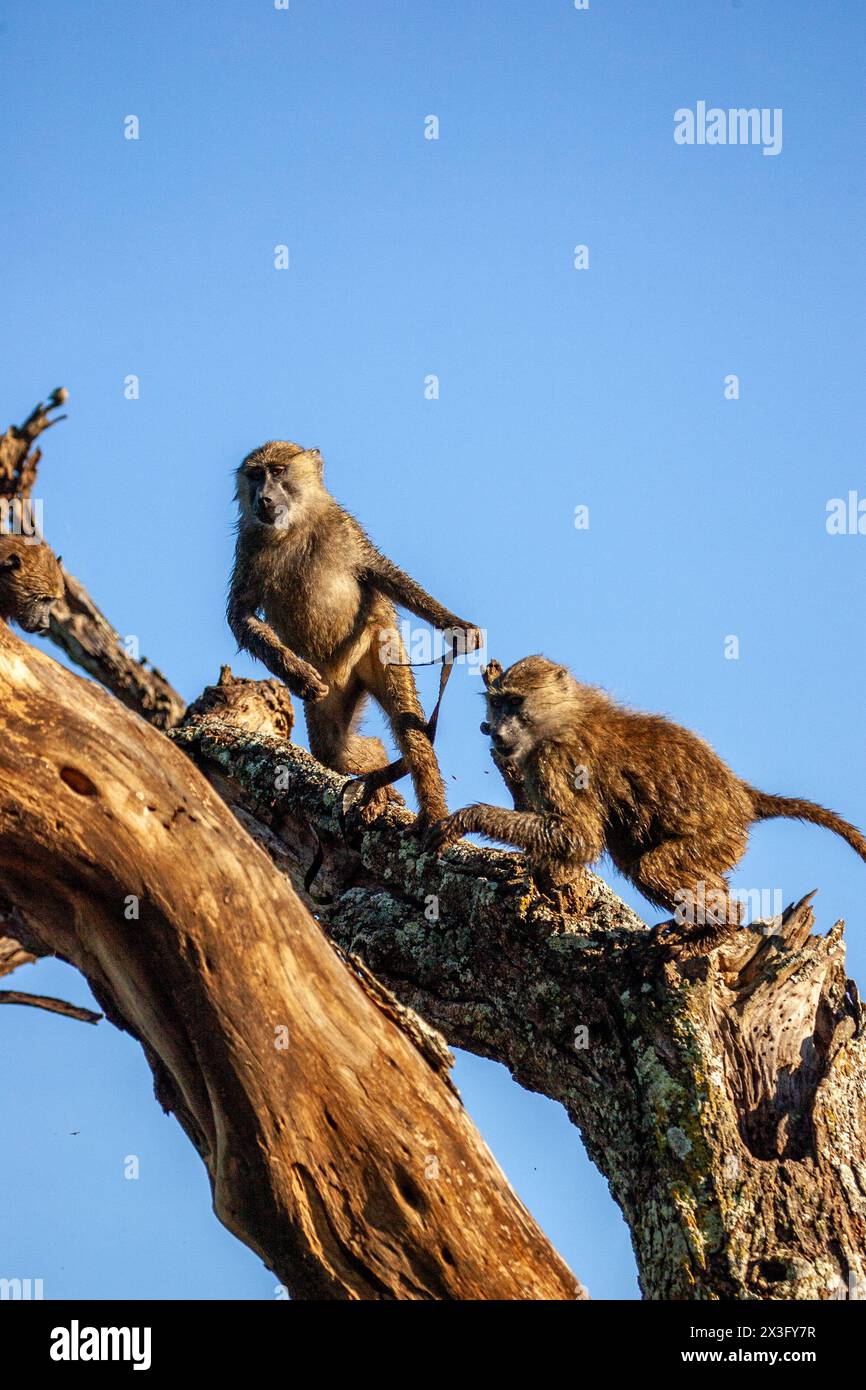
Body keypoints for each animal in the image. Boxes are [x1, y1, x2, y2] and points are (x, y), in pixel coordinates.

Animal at [227, 441, 482, 828]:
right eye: (256, 475)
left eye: (279, 471)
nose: (264, 499)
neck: (294, 527)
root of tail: (346, 673)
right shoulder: (249, 542)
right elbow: (240, 615)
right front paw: (298, 675)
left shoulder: (345, 529)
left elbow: (383, 574)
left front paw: (456, 626)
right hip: (334, 688)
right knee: (334, 748)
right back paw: (378, 774)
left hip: (377, 647)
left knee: (408, 726)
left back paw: (432, 818)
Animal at [426, 655, 866, 950]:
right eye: (497, 703)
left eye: (516, 703)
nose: (496, 731)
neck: (561, 718)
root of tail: (743, 796)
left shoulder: (558, 760)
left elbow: (581, 837)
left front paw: (466, 819)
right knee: (637, 859)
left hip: (718, 837)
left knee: (651, 868)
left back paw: (723, 926)